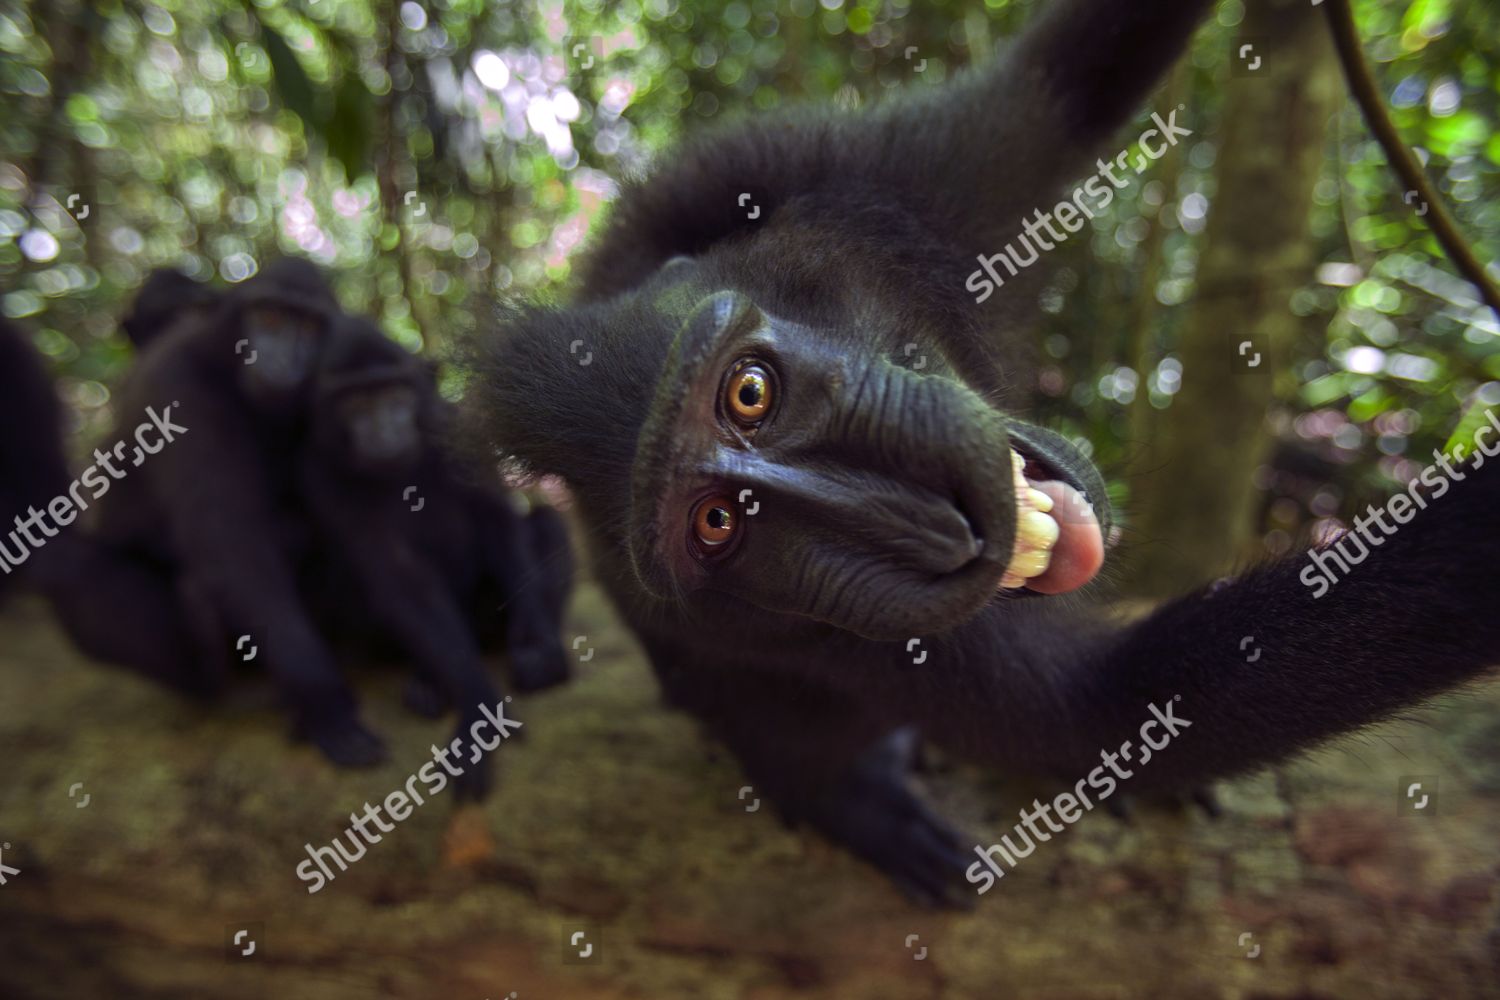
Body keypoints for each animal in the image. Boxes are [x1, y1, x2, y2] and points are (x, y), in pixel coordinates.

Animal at [467, 0, 1500, 905]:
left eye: (749, 393)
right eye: (716, 525)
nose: (928, 525)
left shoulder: (876, 171)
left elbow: (1090, 65)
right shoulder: (806, 634)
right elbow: (1103, 713)